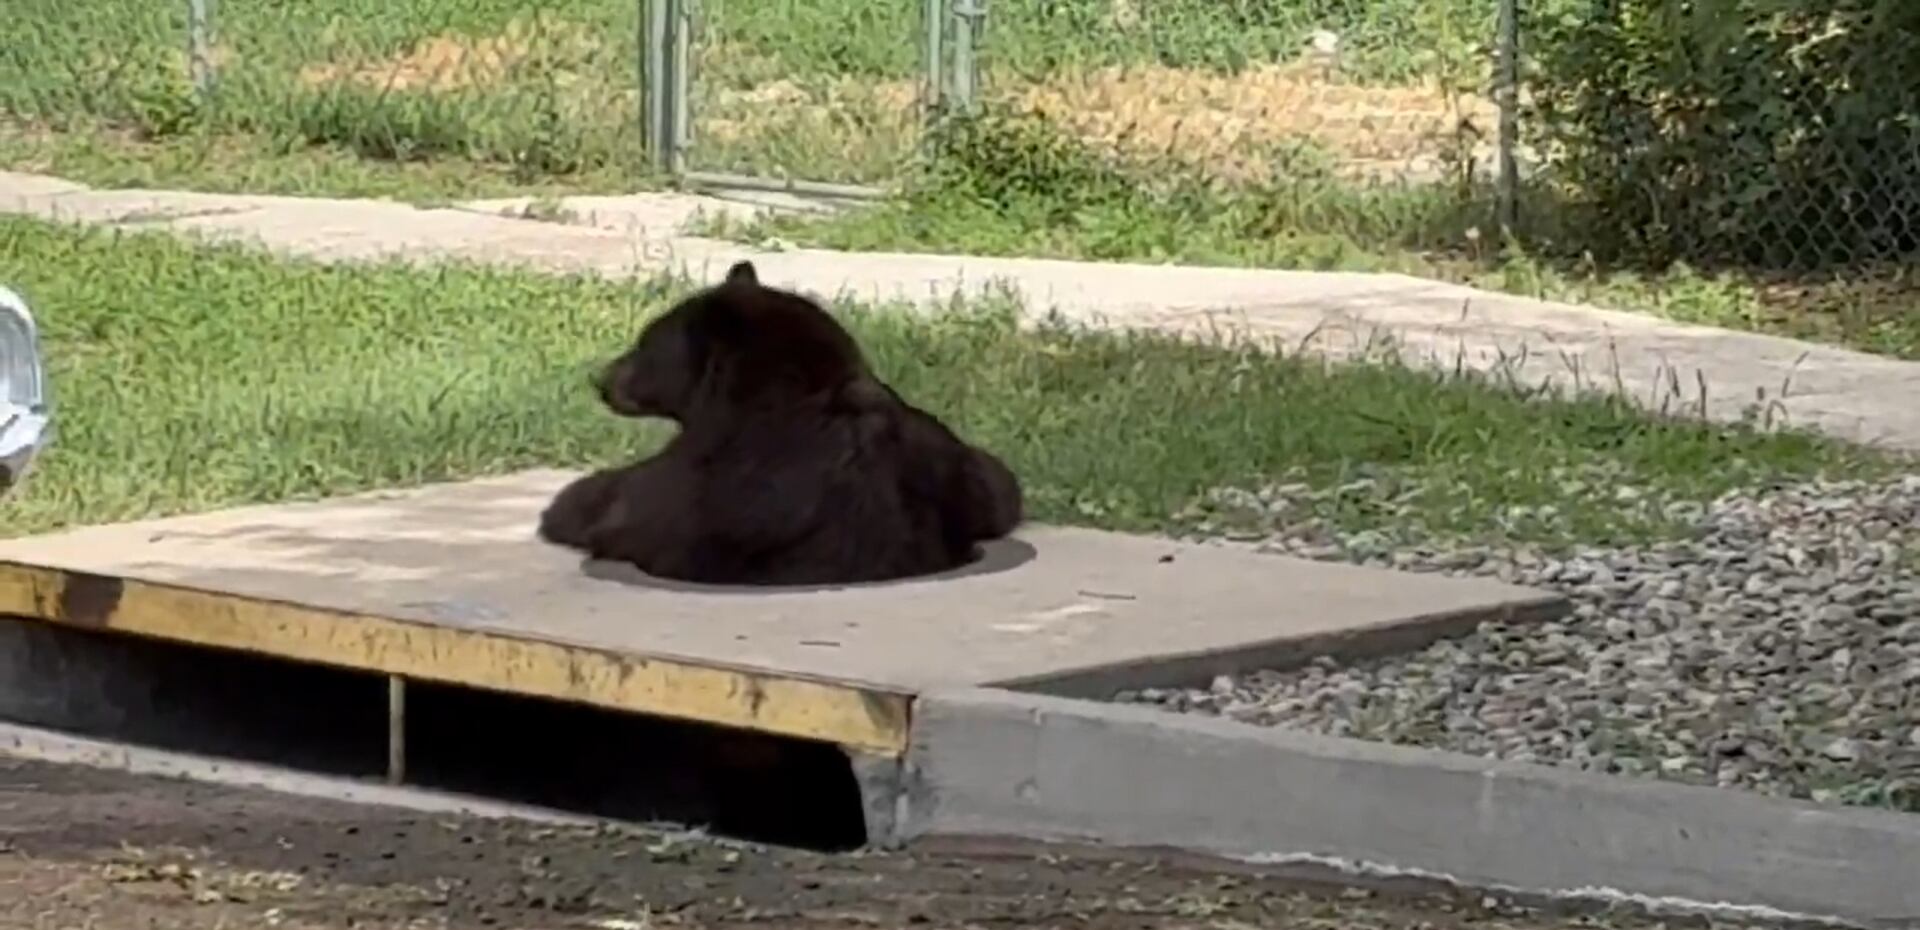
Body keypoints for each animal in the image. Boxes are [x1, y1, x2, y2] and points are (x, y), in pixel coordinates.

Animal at [537, 260, 1023, 586]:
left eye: (645, 343)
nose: (601, 379)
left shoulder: (694, 479)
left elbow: (612, 504)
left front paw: (567, 503)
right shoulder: (953, 457)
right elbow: (999, 487)